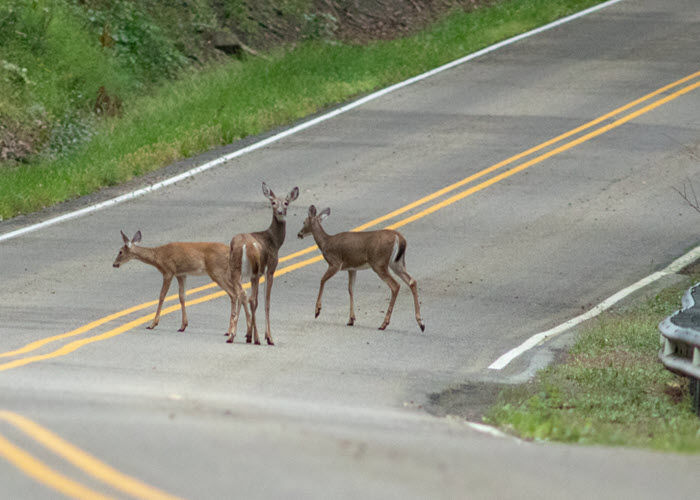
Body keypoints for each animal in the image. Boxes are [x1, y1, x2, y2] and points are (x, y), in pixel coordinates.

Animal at [227, 182, 299, 345]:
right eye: (273, 202)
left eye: (286, 202)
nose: (280, 211)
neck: (274, 241)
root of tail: (243, 245)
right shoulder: (270, 268)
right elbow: (266, 302)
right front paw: (268, 337)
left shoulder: (251, 274)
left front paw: (247, 335)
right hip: (254, 271)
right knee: (250, 297)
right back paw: (257, 338)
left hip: (236, 269)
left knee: (240, 294)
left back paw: (233, 335)